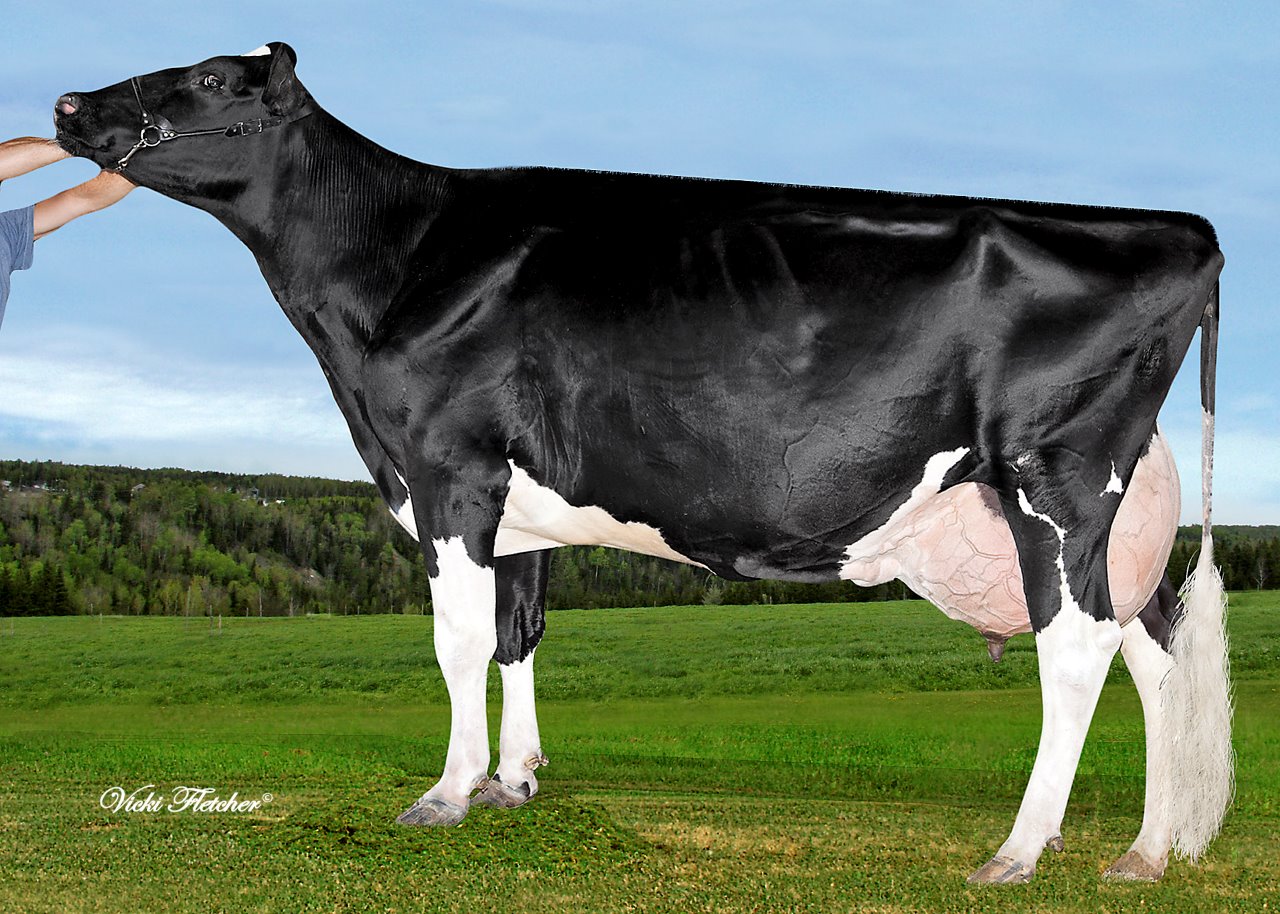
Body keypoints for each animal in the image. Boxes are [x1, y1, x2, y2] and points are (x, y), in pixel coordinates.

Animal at [52, 43, 1231, 884]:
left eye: (210, 79)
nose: (66, 105)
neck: (396, 262)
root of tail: (1183, 230)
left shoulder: (448, 469)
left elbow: (455, 641)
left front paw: (444, 794)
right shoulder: (517, 501)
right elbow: (517, 633)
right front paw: (513, 784)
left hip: (1055, 478)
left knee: (1074, 650)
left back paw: (1018, 851)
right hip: (1111, 514)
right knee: (1154, 650)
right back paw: (1142, 854)